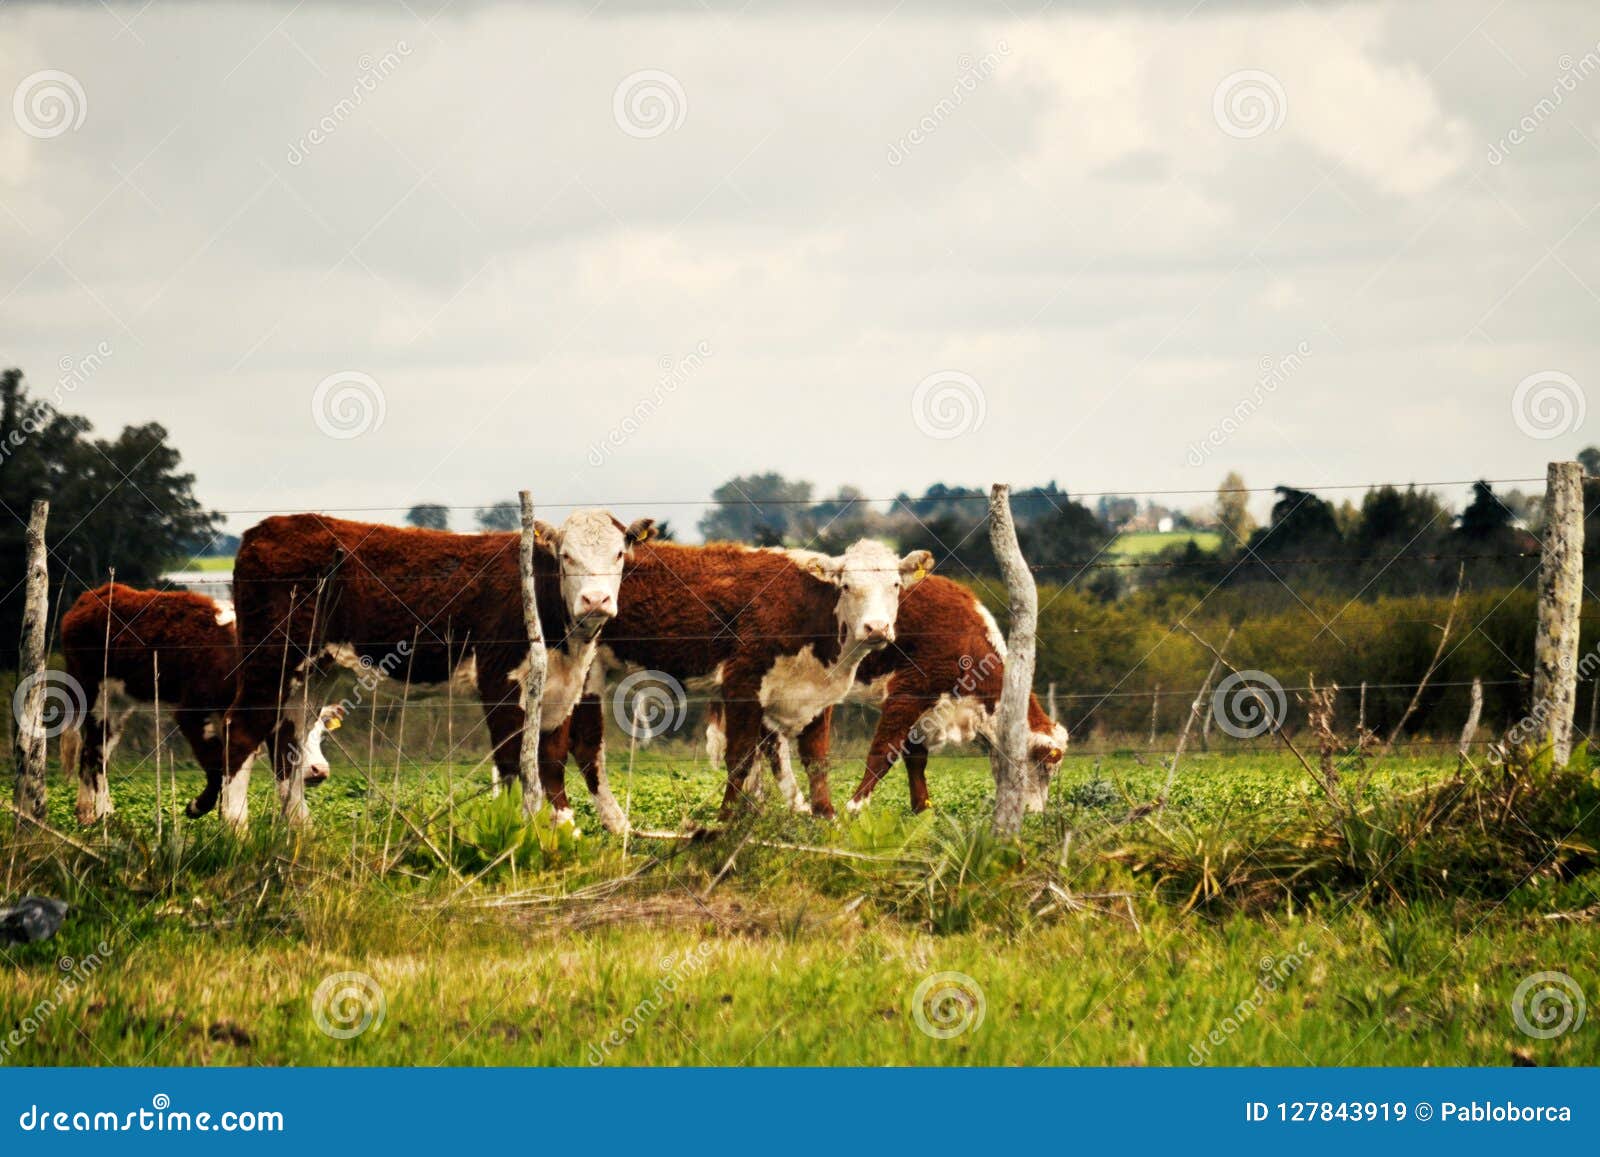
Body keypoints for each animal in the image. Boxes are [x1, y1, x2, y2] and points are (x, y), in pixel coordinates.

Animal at [57, 583, 342, 826]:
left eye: (322, 735)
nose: (319, 770)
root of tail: (98, 594)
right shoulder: (191, 713)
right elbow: (216, 768)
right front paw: (197, 807)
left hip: (119, 705)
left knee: (96, 752)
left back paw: (89, 813)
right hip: (94, 696)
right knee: (93, 752)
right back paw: (100, 814)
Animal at [204, 509, 654, 828]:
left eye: (619, 554)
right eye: (566, 556)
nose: (595, 600)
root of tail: (268, 528)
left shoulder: (563, 690)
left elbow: (552, 762)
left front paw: (563, 830)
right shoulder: (500, 680)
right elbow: (513, 763)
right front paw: (518, 830)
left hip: (314, 673)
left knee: (289, 740)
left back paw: (302, 832)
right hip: (271, 661)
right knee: (241, 730)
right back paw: (237, 830)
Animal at [543, 538, 933, 819]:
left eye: (895, 585)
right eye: (848, 586)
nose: (876, 628)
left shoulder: (818, 693)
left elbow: (816, 759)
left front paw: (825, 819)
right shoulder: (743, 681)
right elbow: (742, 758)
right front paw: (727, 820)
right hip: (581, 675)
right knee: (582, 748)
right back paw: (605, 823)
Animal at [703, 573, 1068, 816]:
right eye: (1043, 768)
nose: (1035, 814)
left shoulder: (927, 710)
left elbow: (916, 759)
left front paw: (922, 809)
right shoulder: (909, 692)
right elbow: (884, 752)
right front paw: (854, 806)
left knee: (766, 744)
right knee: (769, 746)